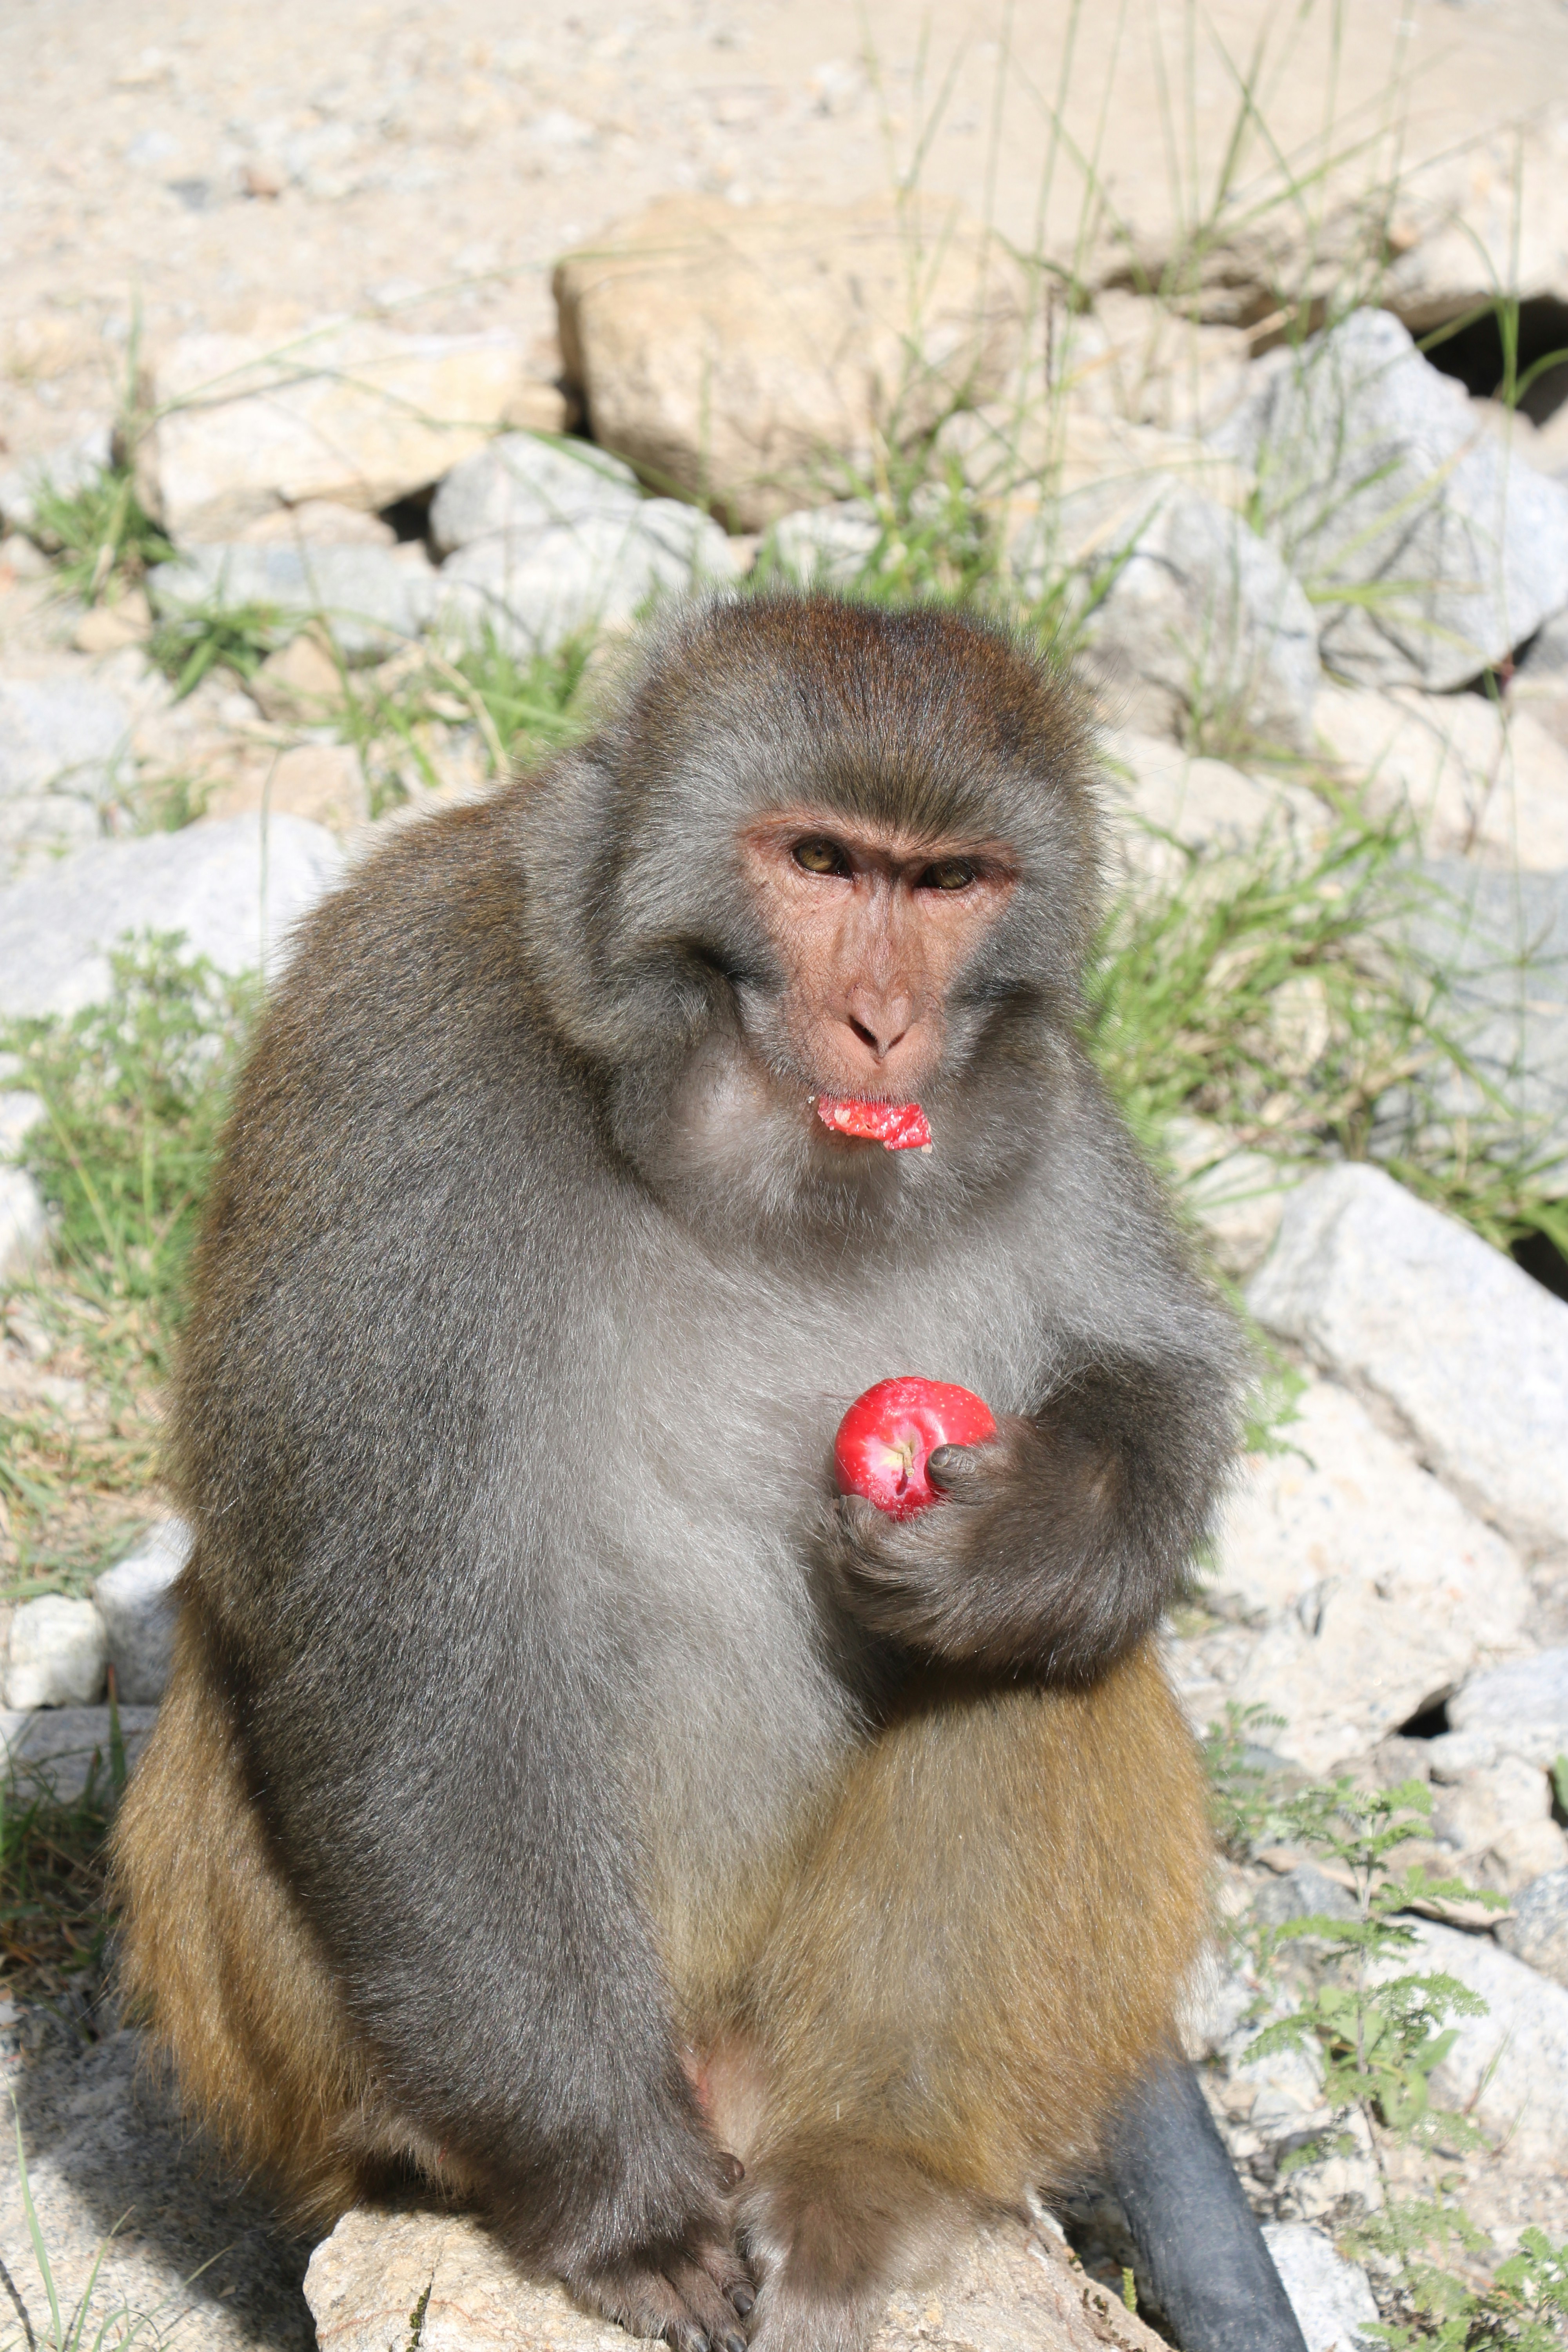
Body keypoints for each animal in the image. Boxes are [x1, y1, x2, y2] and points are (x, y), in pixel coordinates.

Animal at [113, 591, 1309, 2352]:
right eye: (817, 861)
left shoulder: (1052, 1107)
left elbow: (1154, 1380)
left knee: (1050, 1673)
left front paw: (1035, 1532)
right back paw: (465, 2152)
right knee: (265, 1690)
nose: (883, 1024)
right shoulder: (400, 1047)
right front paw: (616, 2199)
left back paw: (864, 2176)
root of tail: (722, 2076)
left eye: (946, 883)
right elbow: (401, 1649)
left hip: (793, 2017)